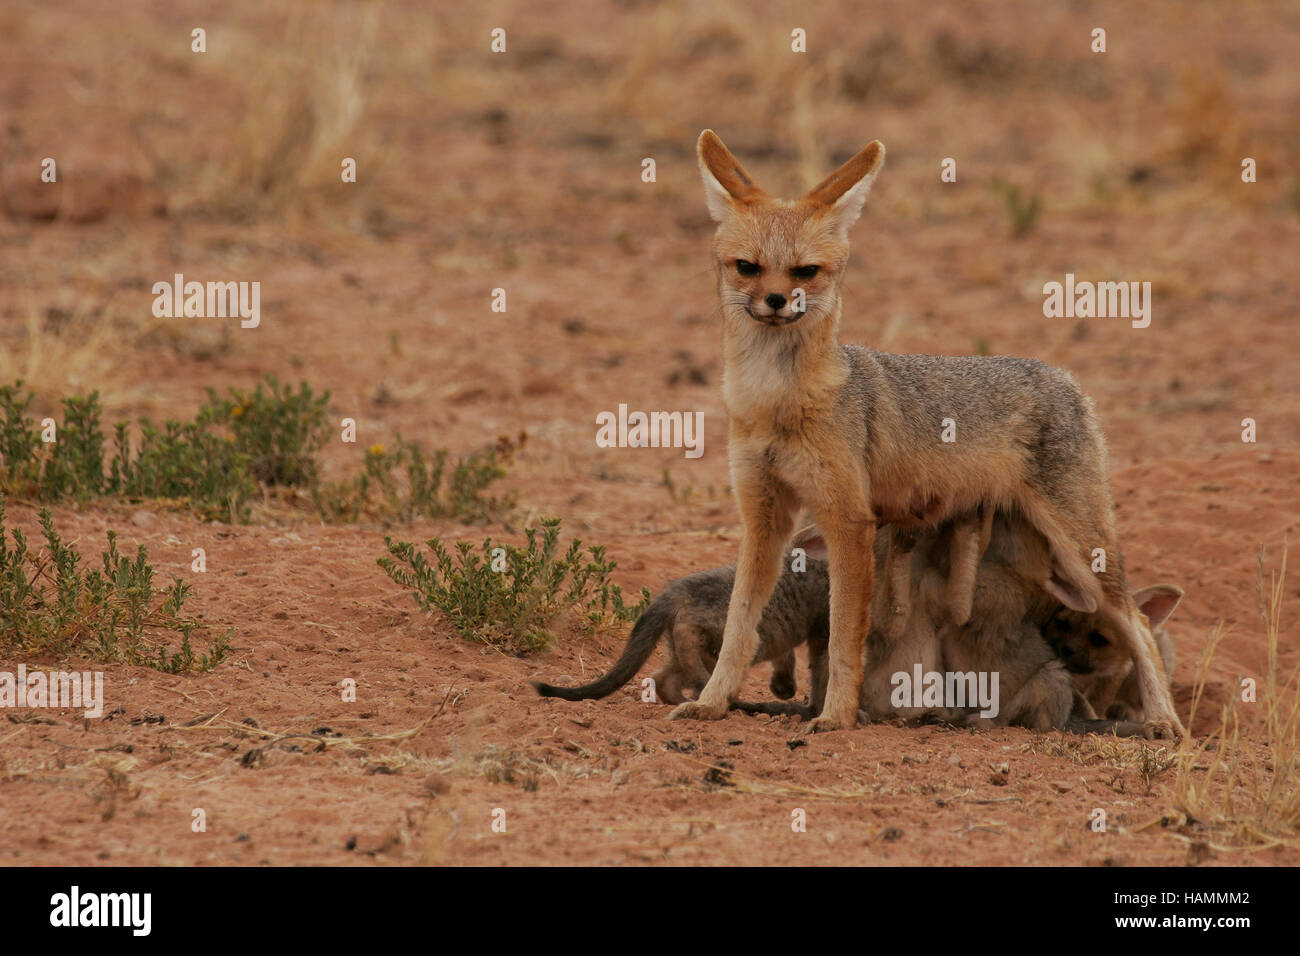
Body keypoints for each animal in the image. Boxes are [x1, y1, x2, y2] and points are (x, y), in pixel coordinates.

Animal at [668, 129, 1183, 738]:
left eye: (804, 272)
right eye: (748, 267)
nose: (775, 301)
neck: (777, 400)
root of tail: (1063, 377)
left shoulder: (850, 522)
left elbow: (844, 637)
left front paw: (836, 716)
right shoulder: (763, 518)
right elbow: (738, 625)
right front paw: (711, 701)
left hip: (1084, 553)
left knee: (1137, 622)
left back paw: (1164, 721)